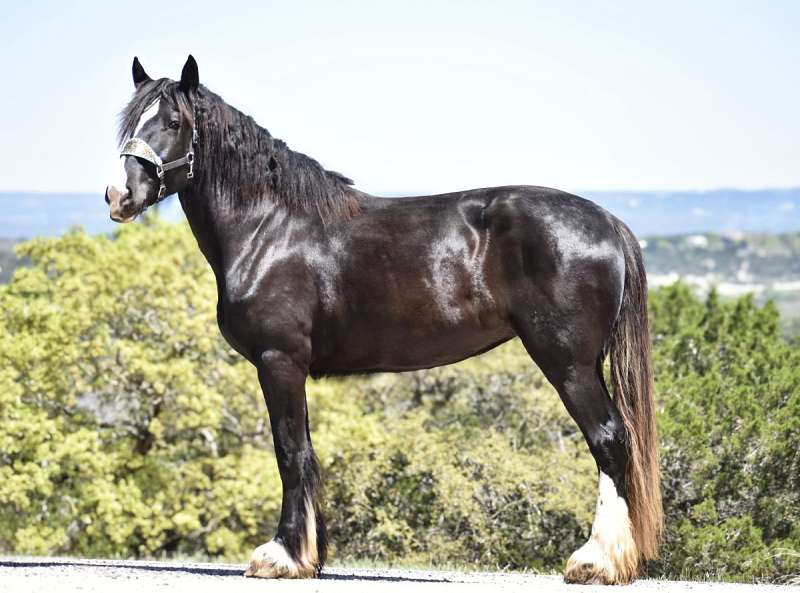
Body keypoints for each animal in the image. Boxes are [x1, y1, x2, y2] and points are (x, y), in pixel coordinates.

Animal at [105, 55, 662, 585]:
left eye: (173, 121)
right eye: (130, 120)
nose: (118, 196)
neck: (270, 226)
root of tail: (607, 221)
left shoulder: (278, 361)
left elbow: (288, 453)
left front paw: (280, 556)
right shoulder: (291, 368)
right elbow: (306, 453)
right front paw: (308, 558)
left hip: (568, 362)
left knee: (610, 440)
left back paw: (596, 562)